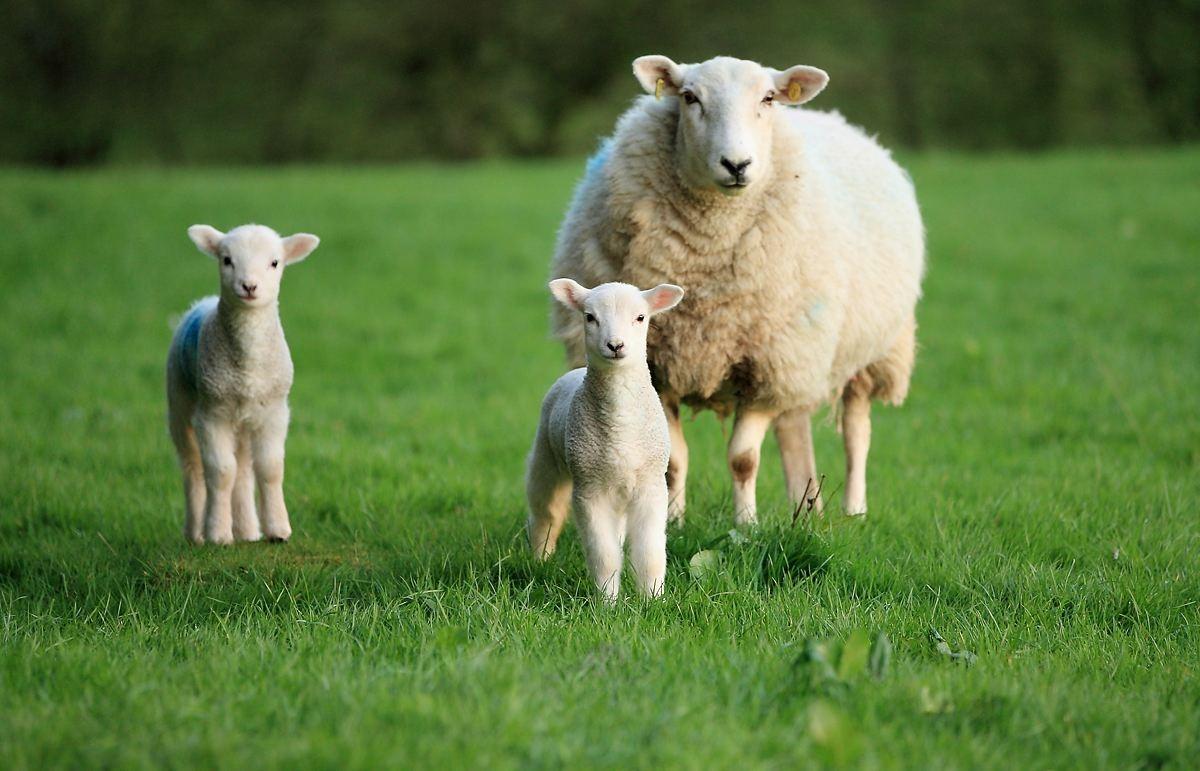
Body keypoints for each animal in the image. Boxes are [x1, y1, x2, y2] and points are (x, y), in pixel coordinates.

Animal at [166, 224, 320, 545]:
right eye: (226, 260)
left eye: (275, 262)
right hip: (178, 402)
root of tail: (202, 302)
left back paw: (248, 531)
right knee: (192, 467)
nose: (249, 286)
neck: (247, 368)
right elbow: (221, 471)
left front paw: (278, 530)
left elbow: (270, 468)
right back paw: (195, 533)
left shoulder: (274, 411)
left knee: (245, 470)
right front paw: (218, 534)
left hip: (247, 420)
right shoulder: (212, 415)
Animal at [526, 279, 685, 601]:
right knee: (545, 514)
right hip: (545, 459)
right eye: (590, 317)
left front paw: (653, 599)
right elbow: (604, 554)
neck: (620, 423)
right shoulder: (589, 491)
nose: (615, 345)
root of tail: (574, 372)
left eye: (641, 317)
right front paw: (607, 601)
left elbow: (649, 554)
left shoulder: (651, 487)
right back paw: (540, 560)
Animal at [550, 55, 925, 524]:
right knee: (794, 429)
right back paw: (807, 507)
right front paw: (674, 520)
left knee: (857, 430)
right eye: (689, 97)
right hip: (803, 355)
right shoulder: (661, 365)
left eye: (768, 98)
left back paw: (854, 509)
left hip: (867, 350)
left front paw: (746, 524)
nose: (736, 164)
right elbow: (675, 460)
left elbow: (743, 459)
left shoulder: (766, 367)